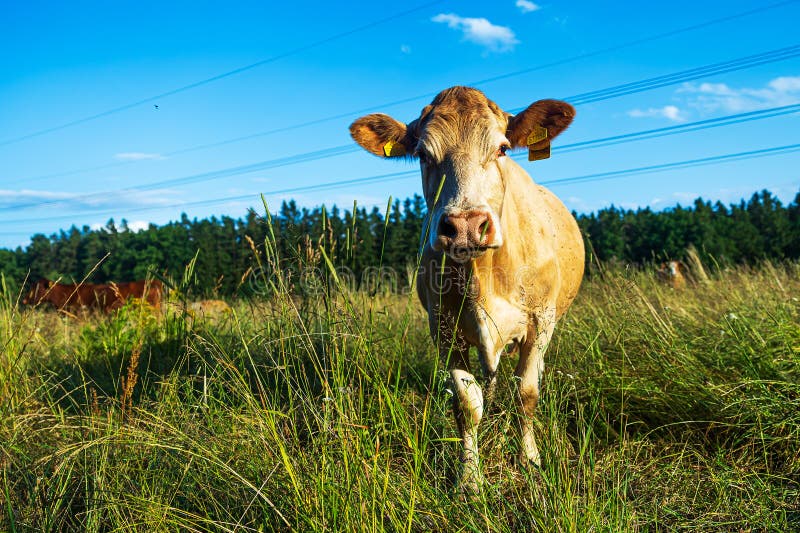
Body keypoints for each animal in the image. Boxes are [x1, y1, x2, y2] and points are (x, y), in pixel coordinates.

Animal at [350, 86, 584, 493]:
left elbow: (526, 394)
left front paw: (530, 461)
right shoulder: (443, 329)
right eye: (423, 155)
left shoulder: (540, 322)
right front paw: (469, 479)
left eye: (502, 148)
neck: (484, 277)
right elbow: (466, 403)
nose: (465, 225)